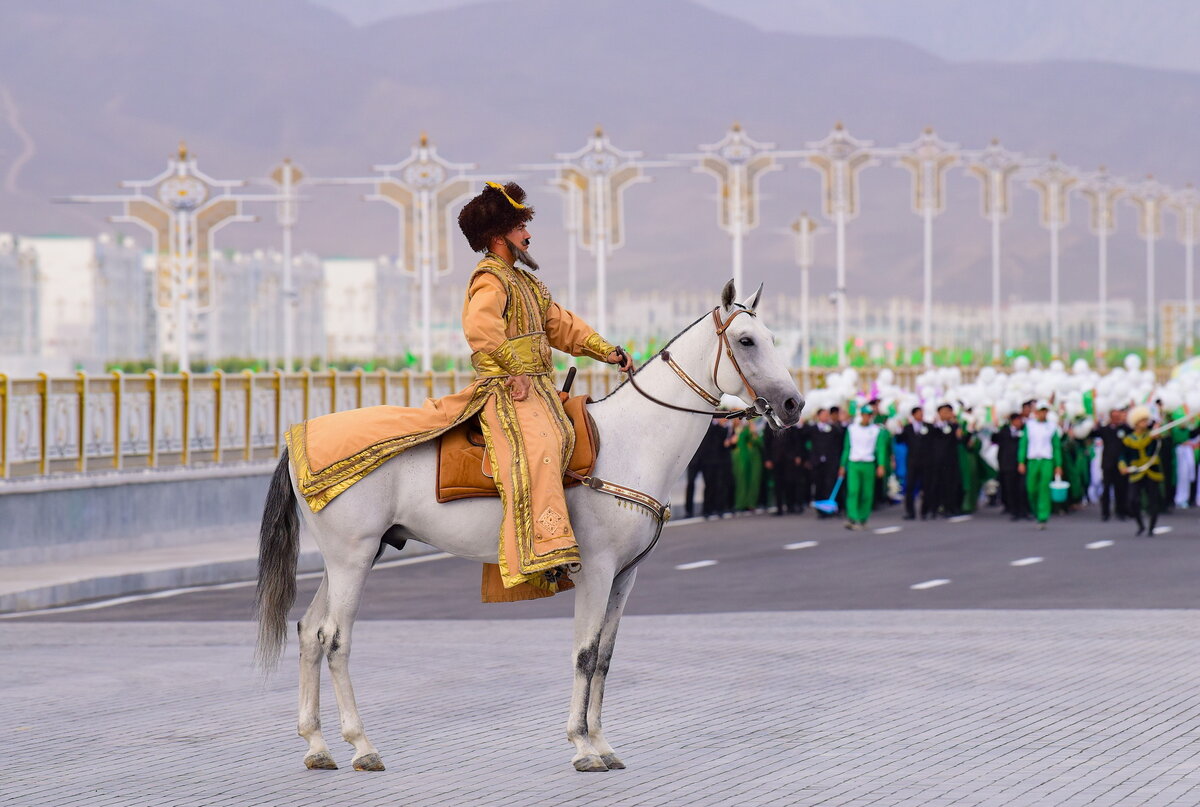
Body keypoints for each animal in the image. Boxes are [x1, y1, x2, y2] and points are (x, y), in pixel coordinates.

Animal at [254, 281, 806, 773]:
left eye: (773, 337)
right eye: (746, 341)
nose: (794, 405)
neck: (632, 443)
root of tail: (296, 440)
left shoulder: (626, 576)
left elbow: (605, 657)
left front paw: (603, 743)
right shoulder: (596, 570)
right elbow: (584, 653)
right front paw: (582, 747)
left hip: (346, 559)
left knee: (308, 632)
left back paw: (317, 745)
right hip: (352, 557)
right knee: (335, 639)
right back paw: (361, 745)